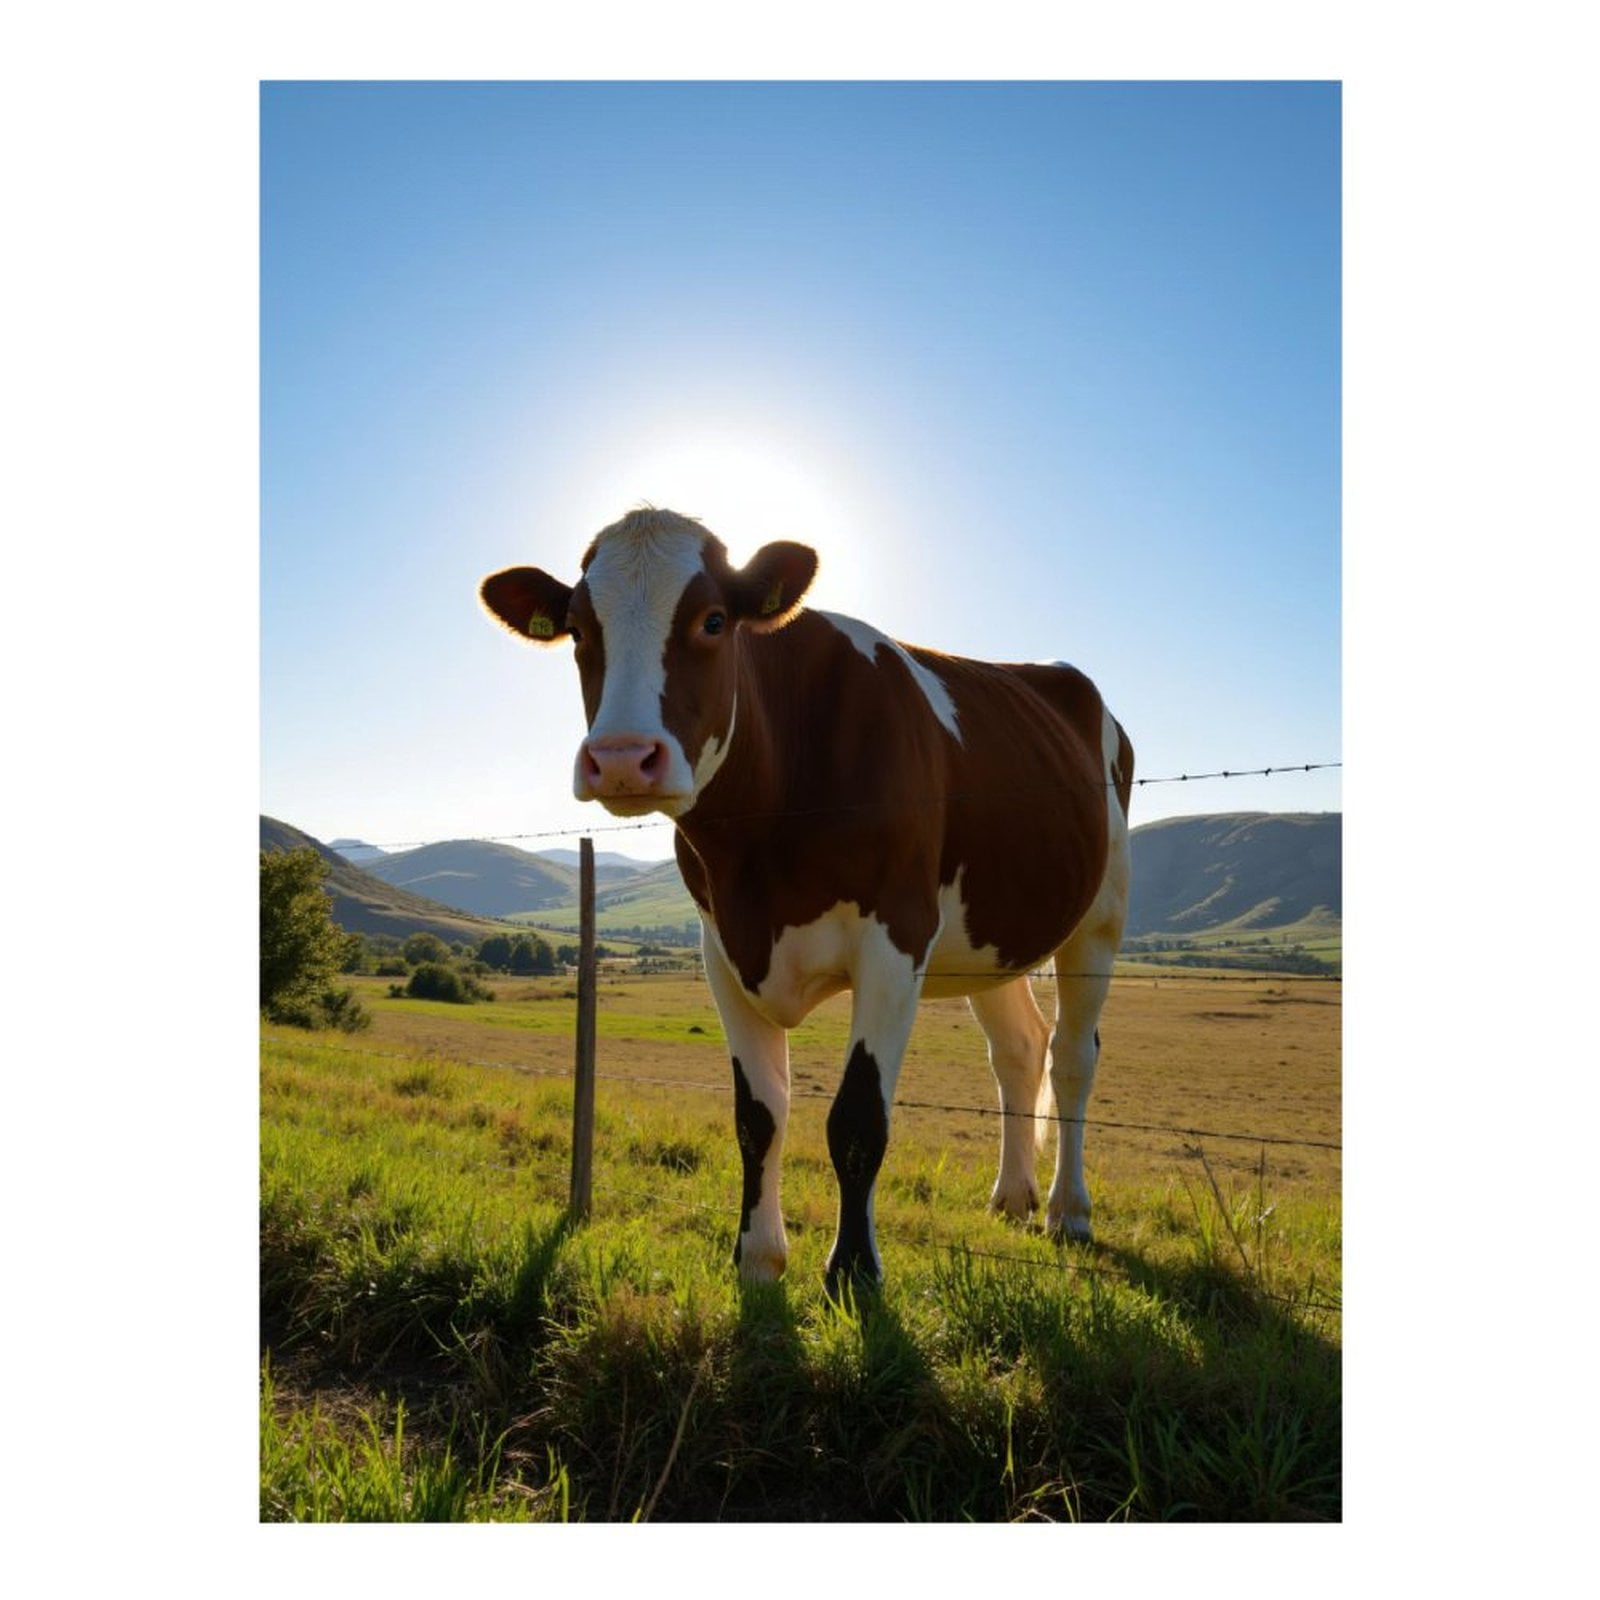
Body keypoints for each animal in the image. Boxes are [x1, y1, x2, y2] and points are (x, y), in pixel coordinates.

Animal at [481, 507, 1133, 1296]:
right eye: (578, 629)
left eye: (714, 620)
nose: (622, 759)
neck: (761, 843)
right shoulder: (724, 948)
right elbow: (757, 1116)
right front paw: (758, 1259)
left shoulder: (897, 939)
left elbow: (857, 1120)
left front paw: (852, 1273)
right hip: (989, 932)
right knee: (1018, 1048)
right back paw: (1012, 1198)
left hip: (1099, 916)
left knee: (1072, 1056)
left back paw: (1069, 1211)